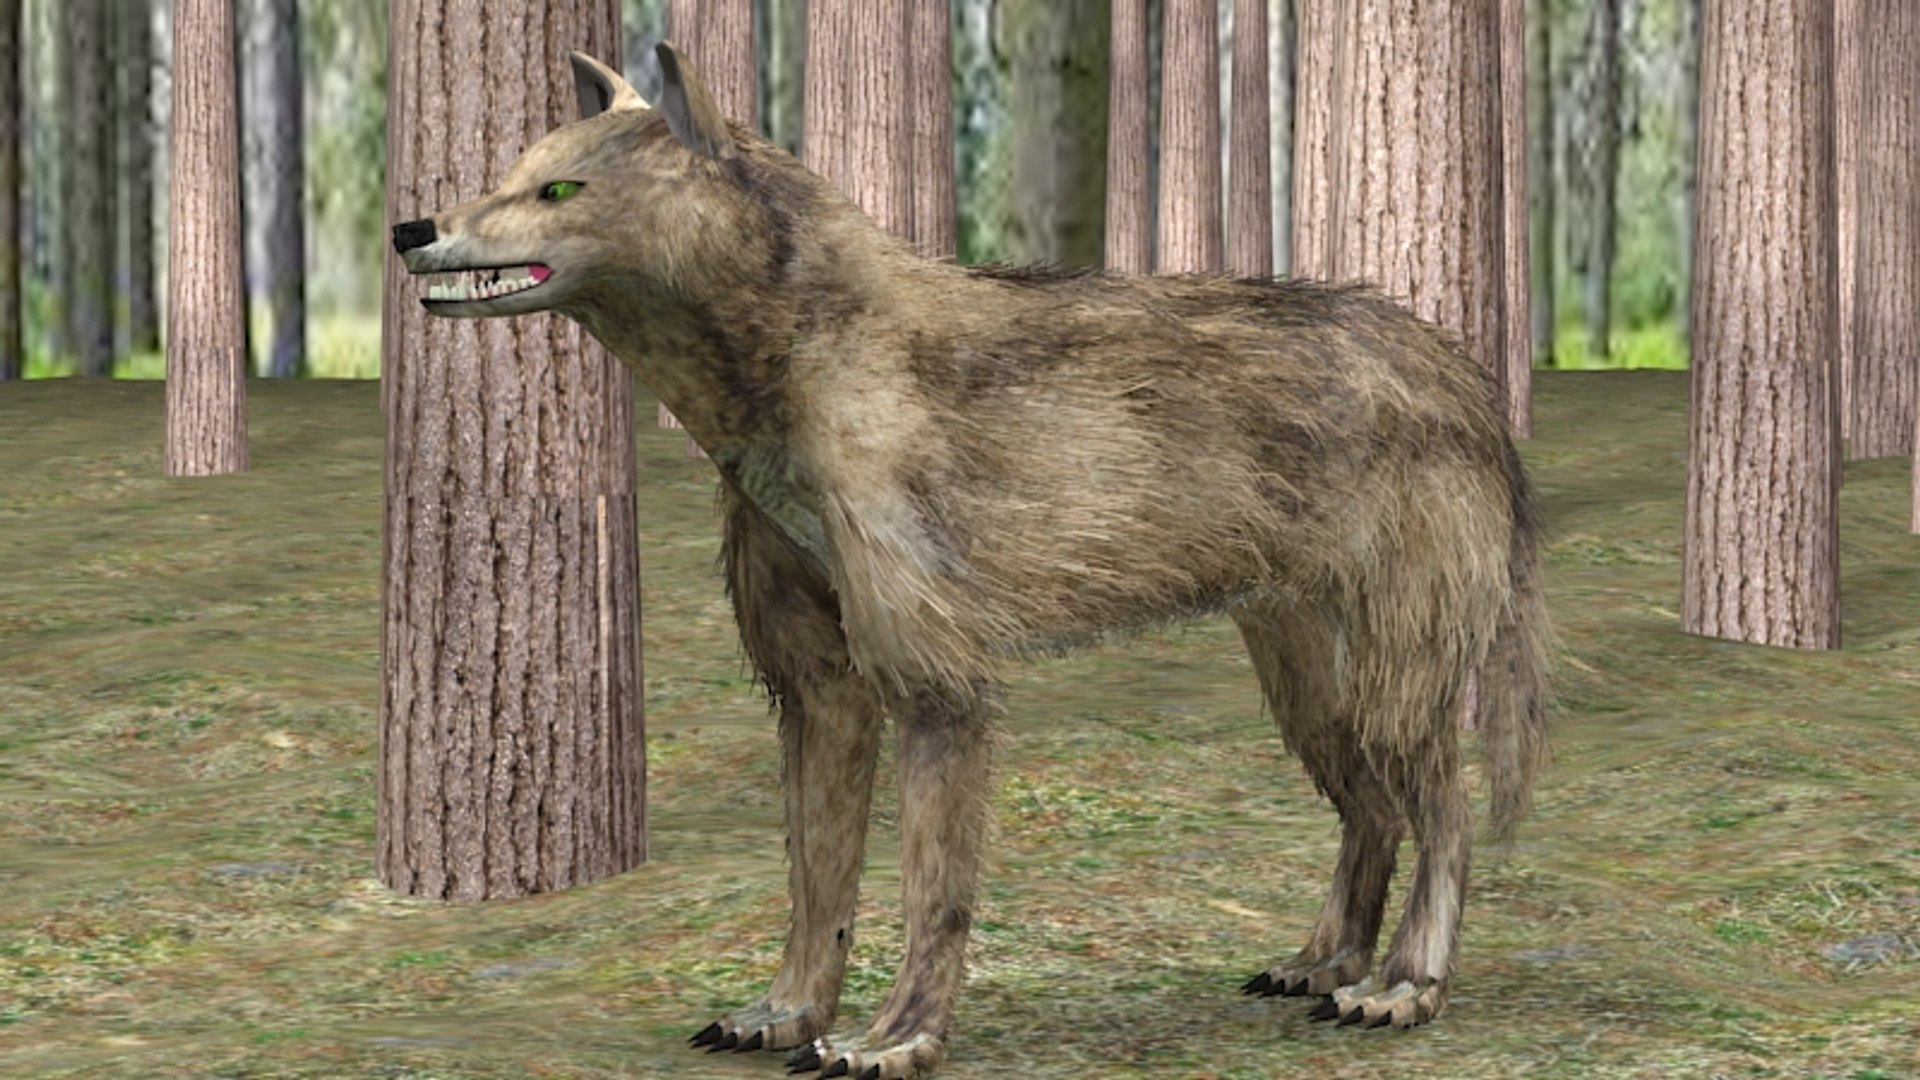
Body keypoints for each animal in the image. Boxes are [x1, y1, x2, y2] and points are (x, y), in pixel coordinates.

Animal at [391, 42, 1551, 1080]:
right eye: (506, 172)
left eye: (559, 188)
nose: (410, 227)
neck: (794, 370)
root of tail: (1461, 375)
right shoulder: (821, 692)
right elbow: (818, 886)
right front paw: (785, 1016)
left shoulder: (939, 690)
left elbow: (930, 897)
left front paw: (895, 1041)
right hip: (1305, 684)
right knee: (1372, 813)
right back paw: (1324, 964)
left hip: (1389, 684)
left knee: (1446, 818)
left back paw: (1404, 985)